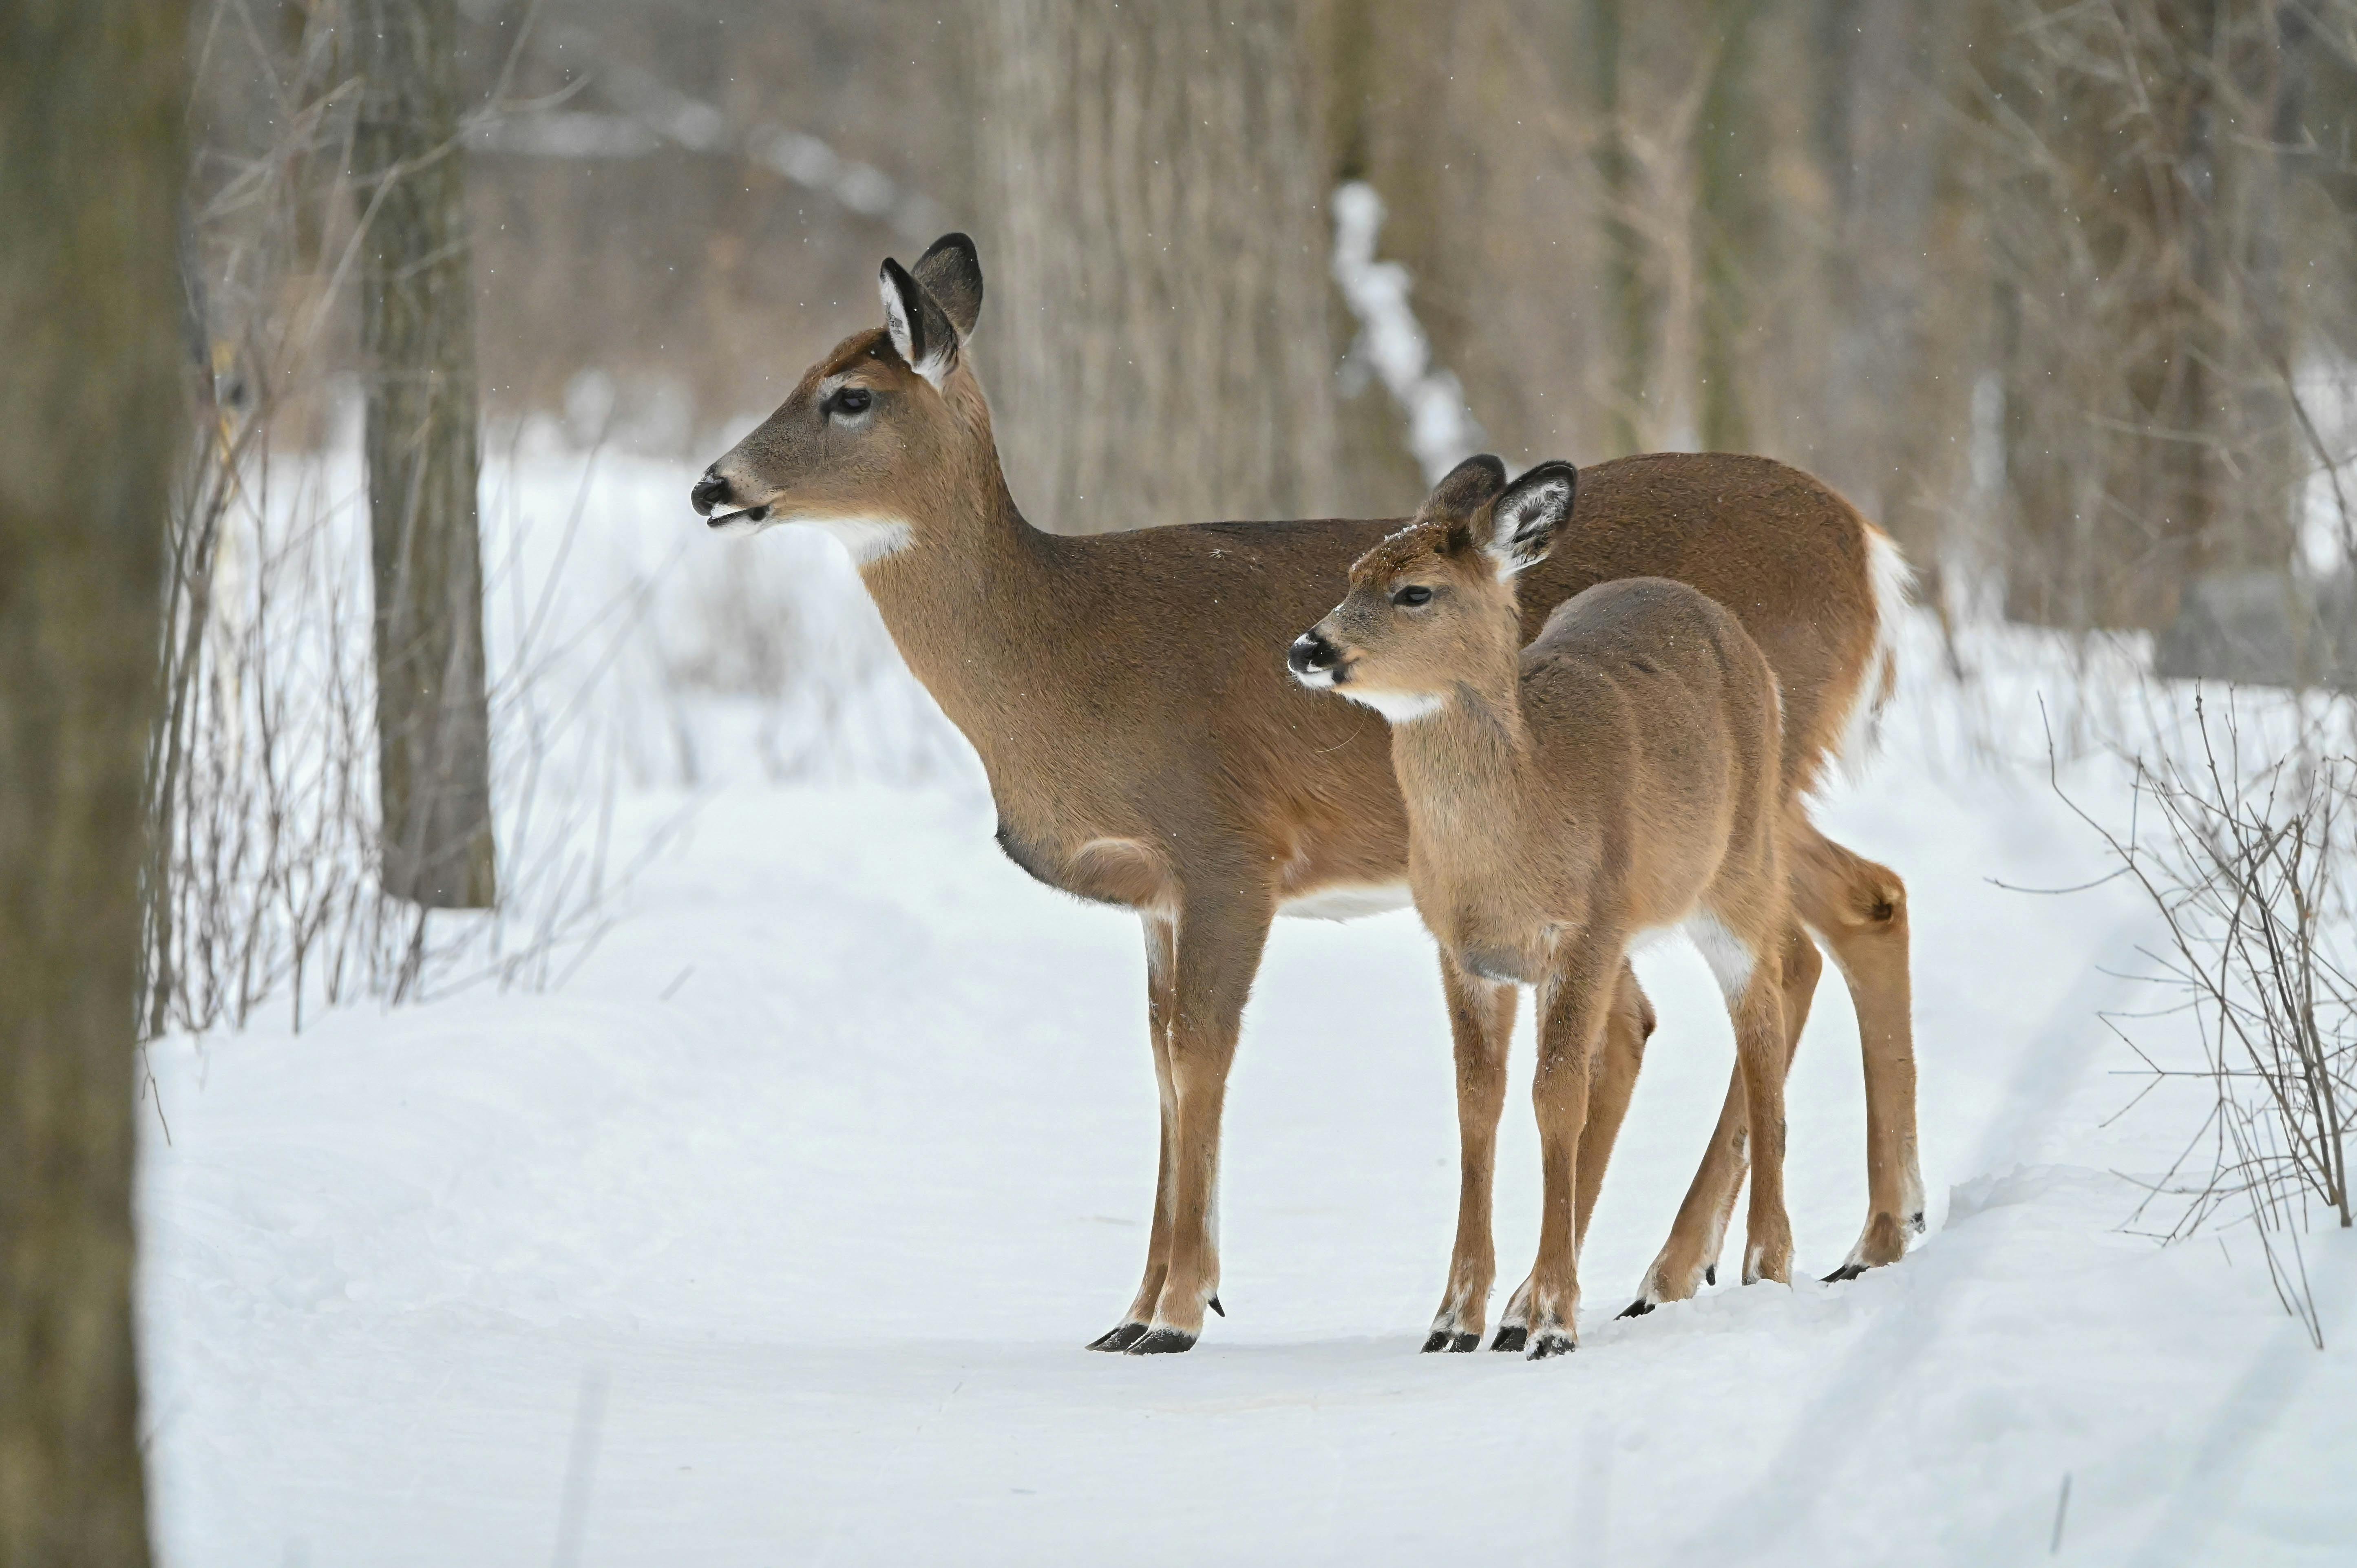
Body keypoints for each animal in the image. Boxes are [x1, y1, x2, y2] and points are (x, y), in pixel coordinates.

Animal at [1289, 457, 1812, 1356]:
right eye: (1352, 574)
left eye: (1415, 592)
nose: (1307, 648)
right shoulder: (1464, 951)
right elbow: (1479, 1102)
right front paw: (1456, 1317)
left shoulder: (1585, 931)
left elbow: (1555, 1097)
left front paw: (1558, 1324)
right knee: (1644, 1026)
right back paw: (1525, 1304)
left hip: (1737, 867)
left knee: (1761, 1018)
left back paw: (1764, 1263)